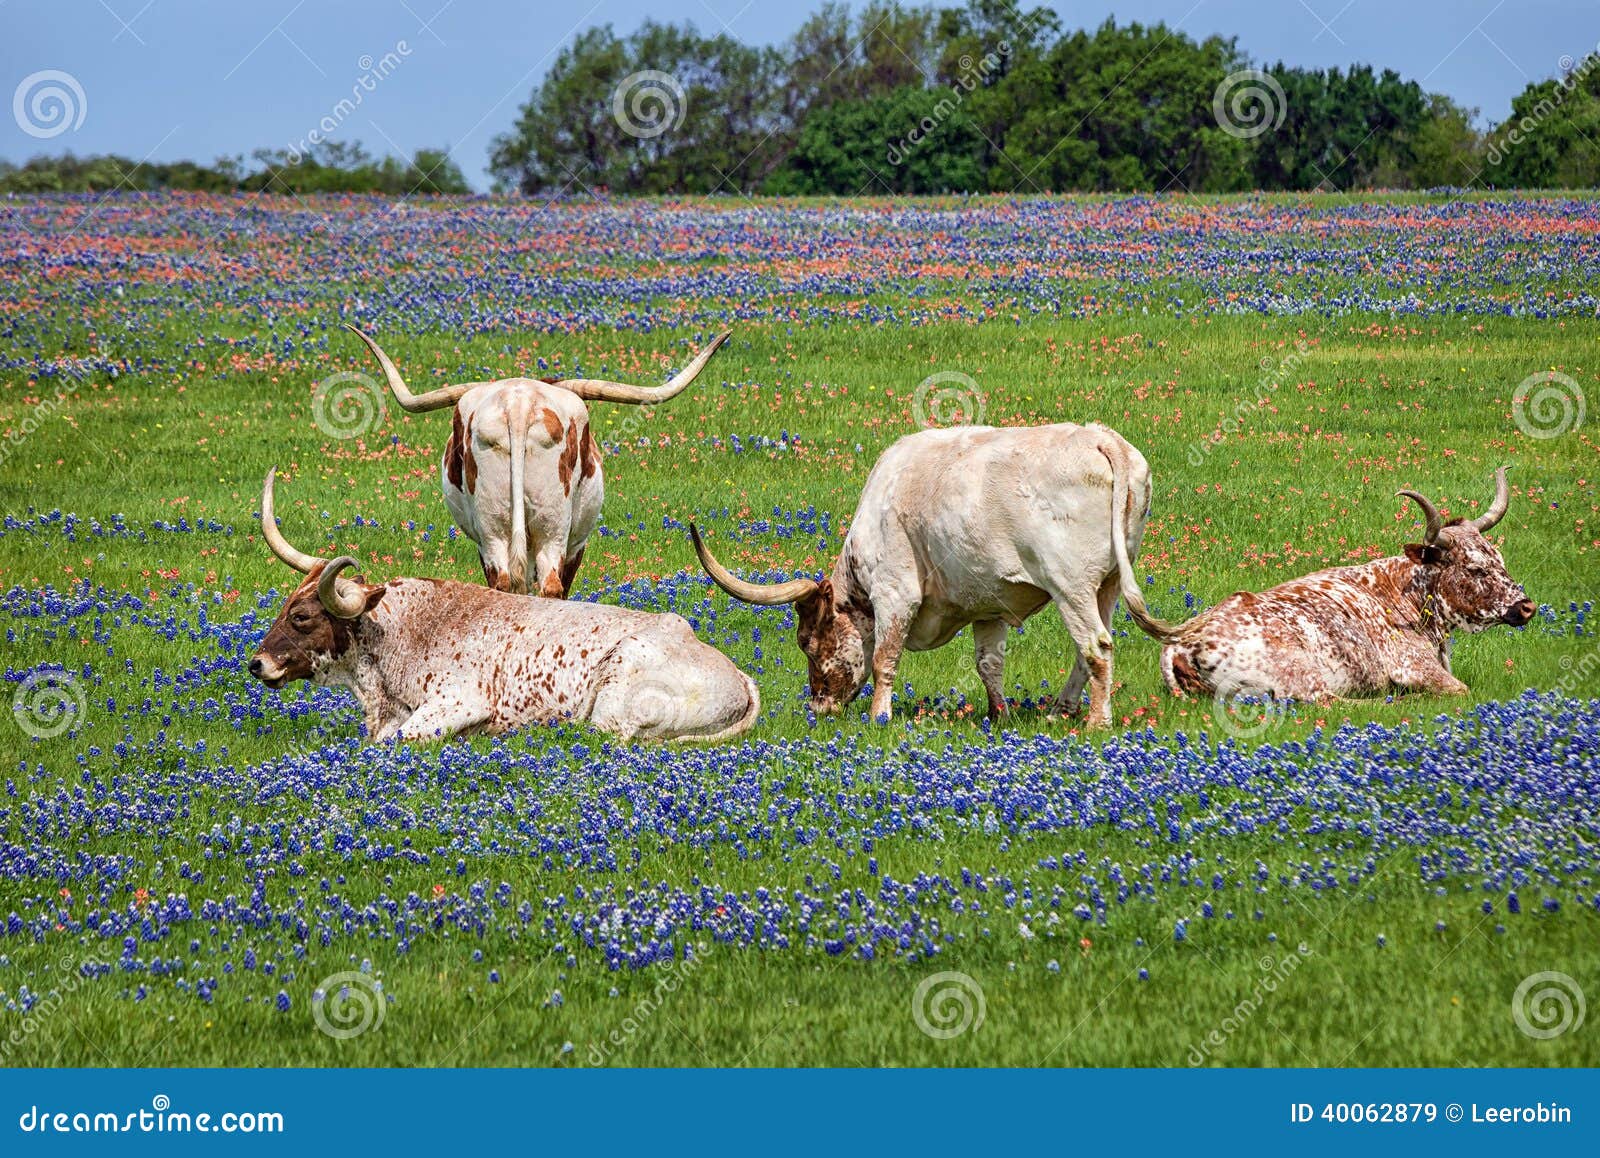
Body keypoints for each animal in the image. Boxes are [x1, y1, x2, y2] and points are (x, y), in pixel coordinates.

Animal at [247, 468, 760, 743]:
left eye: (302, 616)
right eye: (285, 607)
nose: (256, 663)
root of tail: (739, 677)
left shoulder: (457, 701)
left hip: (612, 703)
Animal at [688, 422, 1157, 728]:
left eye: (807, 642)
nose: (818, 707)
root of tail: (1102, 438)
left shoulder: (896, 593)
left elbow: (884, 658)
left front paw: (879, 717)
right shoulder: (990, 606)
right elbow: (989, 665)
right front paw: (998, 716)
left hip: (1070, 585)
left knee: (1096, 647)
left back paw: (1096, 722)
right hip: (1108, 585)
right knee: (1087, 648)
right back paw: (1061, 711)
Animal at [1124, 467, 1533, 704]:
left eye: (1499, 558)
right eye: (1475, 568)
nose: (1526, 606)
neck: (1404, 594)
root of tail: (1182, 642)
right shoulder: (1415, 668)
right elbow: (1461, 690)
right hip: (1301, 675)